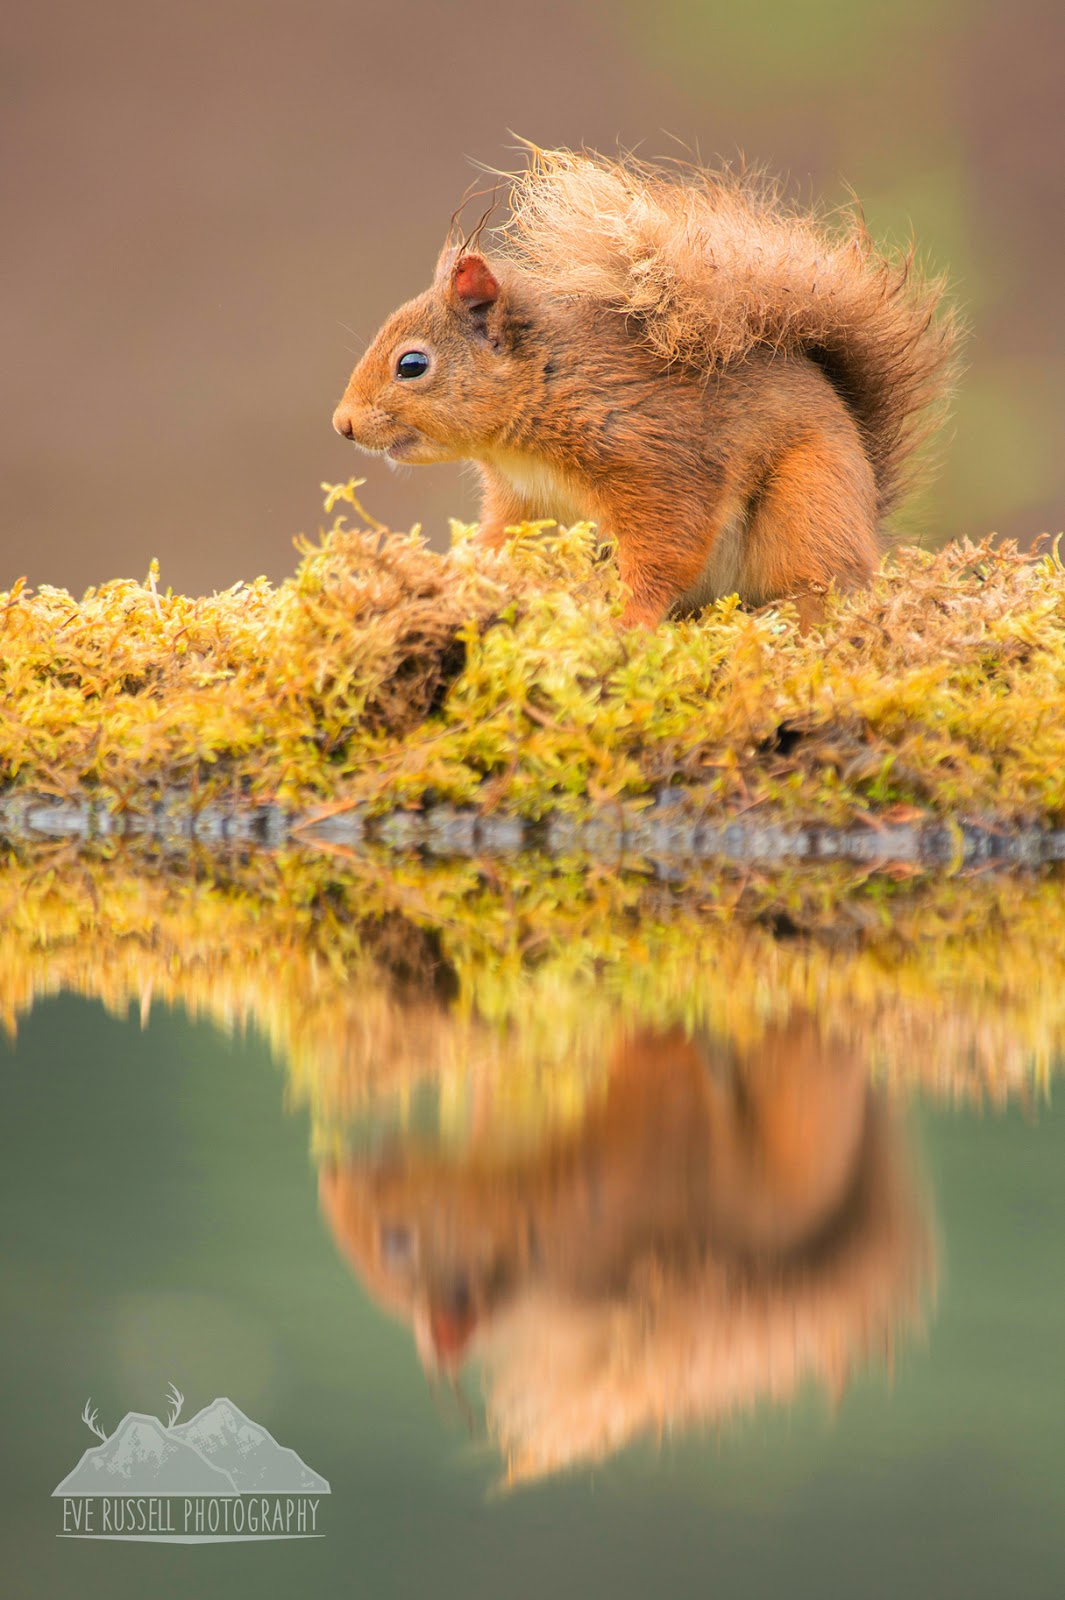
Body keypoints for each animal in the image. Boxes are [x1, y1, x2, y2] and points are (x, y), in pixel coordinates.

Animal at [333, 146, 960, 628]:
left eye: (412, 365)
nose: (343, 425)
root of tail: (868, 519)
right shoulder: (525, 502)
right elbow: (499, 546)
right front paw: (458, 581)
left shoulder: (655, 461)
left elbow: (665, 555)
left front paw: (626, 621)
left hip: (806, 506)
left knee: (815, 585)